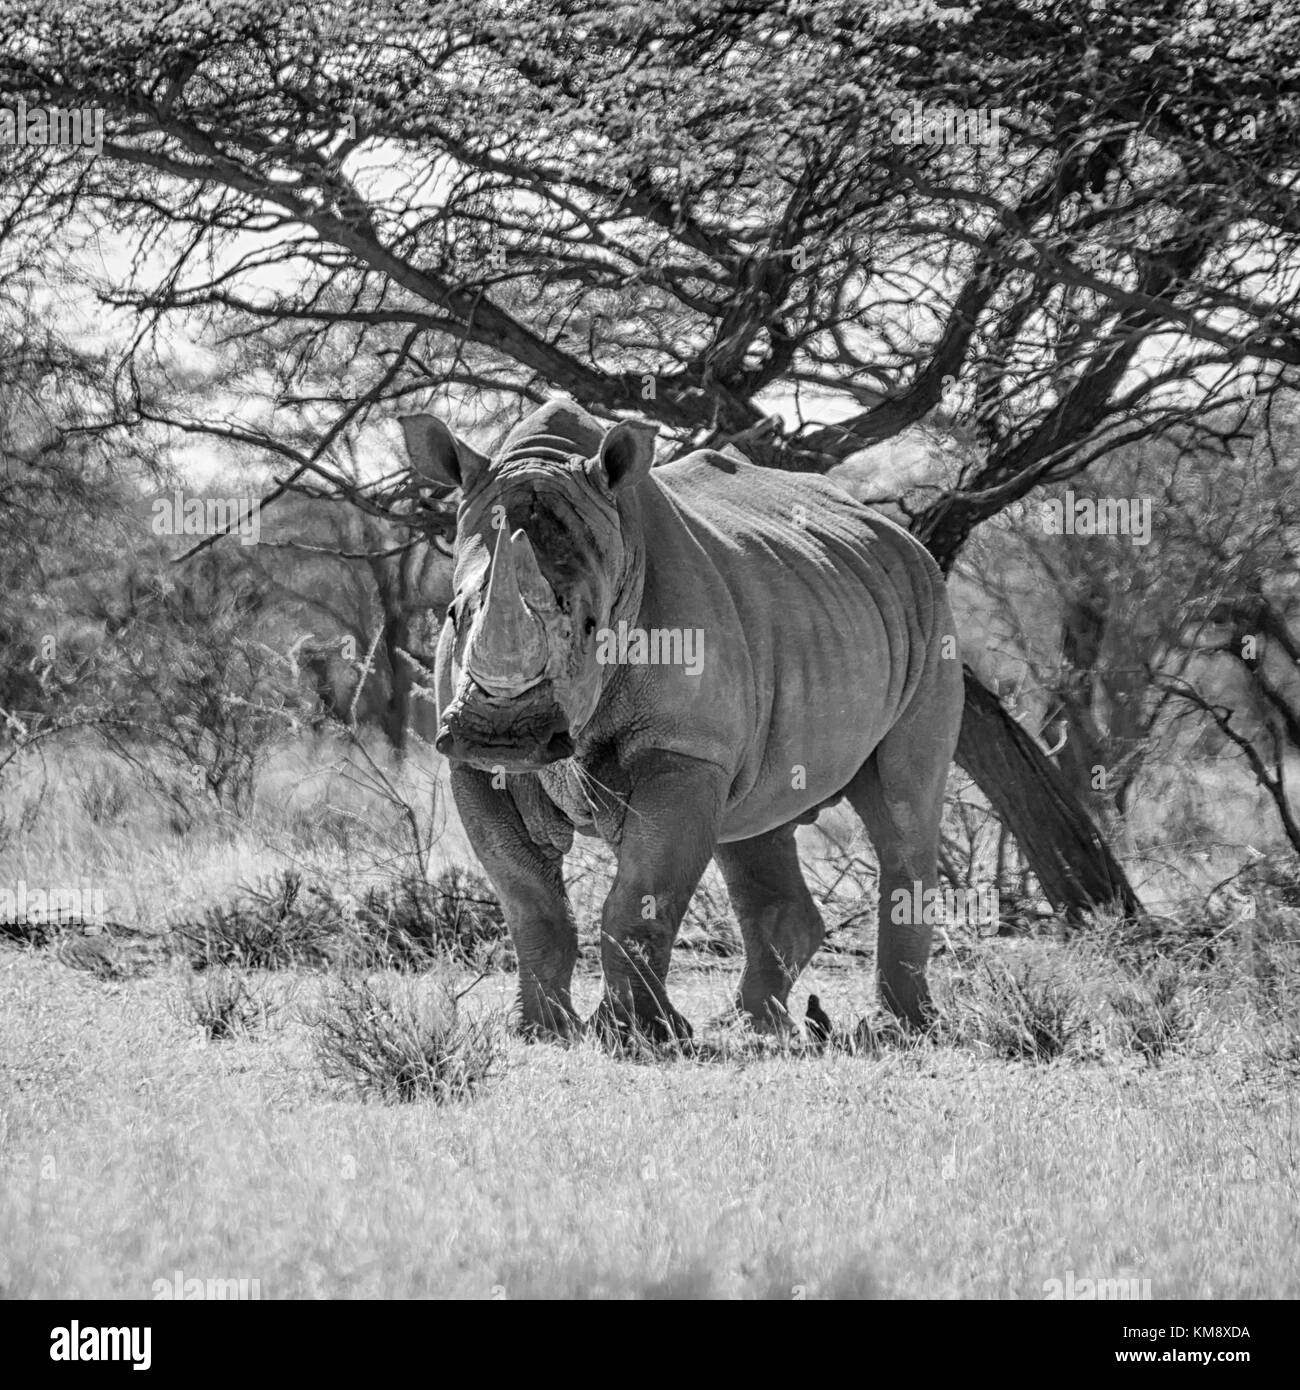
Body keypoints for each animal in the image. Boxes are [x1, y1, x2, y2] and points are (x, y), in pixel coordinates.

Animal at [400, 399, 963, 1041]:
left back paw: (901, 1028)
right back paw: (751, 1026)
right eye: (452, 612)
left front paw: (640, 1034)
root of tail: (898, 536)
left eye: (591, 626)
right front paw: (539, 1031)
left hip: (930, 610)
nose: (501, 735)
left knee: (902, 809)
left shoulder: (682, 748)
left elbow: (643, 894)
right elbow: (529, 902)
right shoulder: (471, 767)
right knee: (753, 822)